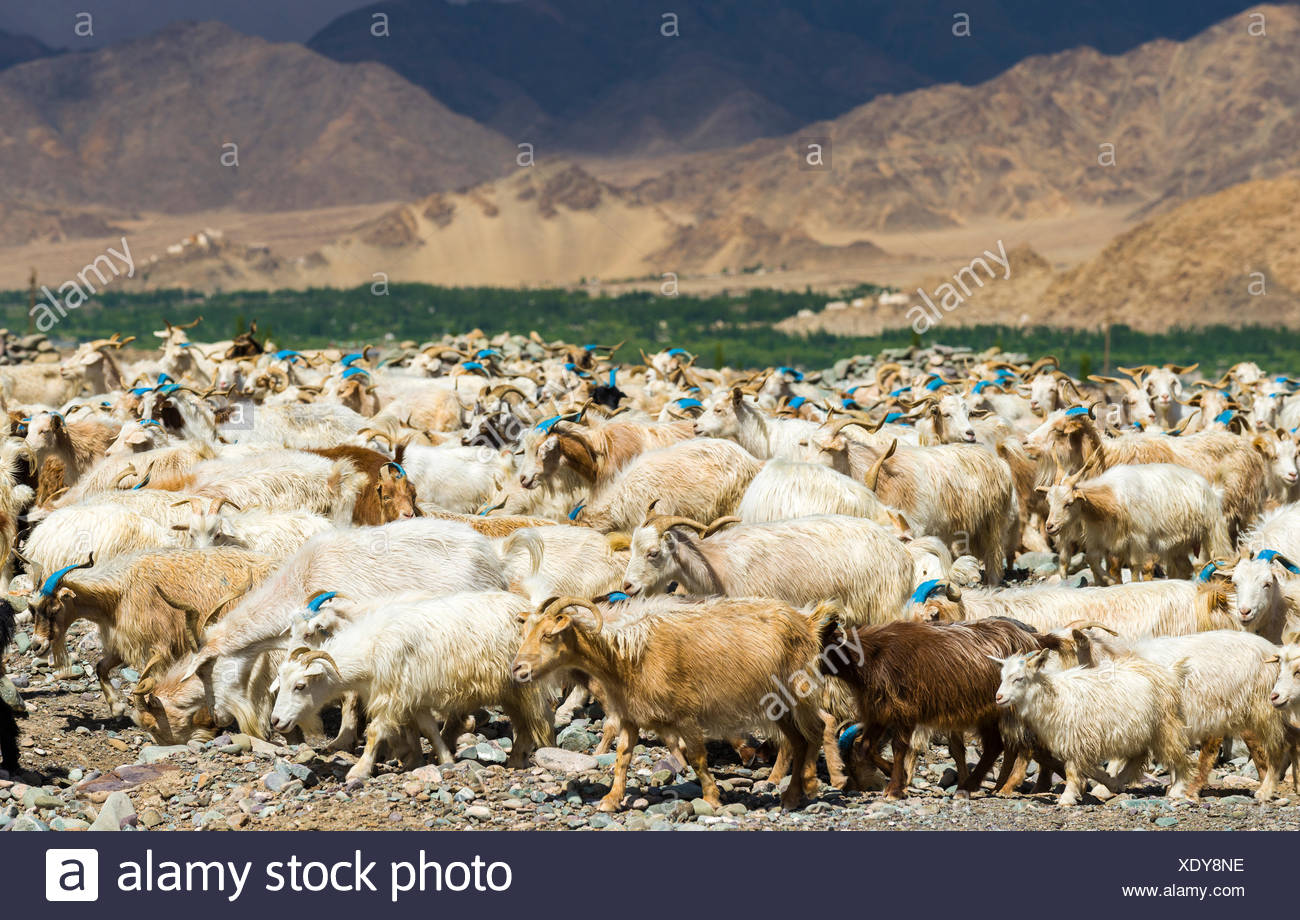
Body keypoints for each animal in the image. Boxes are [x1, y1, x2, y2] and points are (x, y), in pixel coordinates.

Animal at [271, 591, 554, 780]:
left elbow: (376, 732)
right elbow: (427, 729)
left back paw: (518, 759)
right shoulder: (413, 695)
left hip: (525, 685)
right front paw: (440, 759)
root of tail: (529, 608)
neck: (371, 647)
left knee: (533, 719)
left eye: (300, 686)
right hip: (509, 690)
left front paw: (359, 770)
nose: (275, 721)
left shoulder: (393, 694)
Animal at [511, 595, 825, 811]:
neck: (627, 660)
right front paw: (611, 799)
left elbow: (698, 758)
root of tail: (806, 621)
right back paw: (792, 796)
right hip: (781, 707)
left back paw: (807, 787)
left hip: (797, 692)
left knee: (816, 731)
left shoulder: (687, 715)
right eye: (523, 634)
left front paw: (712, 798)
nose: (517, 669)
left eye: (548, 635)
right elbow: (622, 757)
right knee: (799, 741)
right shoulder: (630, 717)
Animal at [623, 511, 914, 628]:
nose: (627, 586)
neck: (715, 562)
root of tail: (903, 554)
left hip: (884, 606)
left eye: (653, 552)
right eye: (632, 549)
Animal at [994, 649, 1193, 805]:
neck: (1054, 697)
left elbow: (1073, 771)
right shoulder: (1079, 742)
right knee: (1138, 756)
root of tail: (1169, 673)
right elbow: (1087, 769)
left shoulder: (1076, 739)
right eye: (1002, 677)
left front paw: (1067, 798)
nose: (998, 697)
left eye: (1019, 678)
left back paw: (1178, 789)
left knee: (1180, 757)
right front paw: (1107, 782)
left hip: (1166, 726)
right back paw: (1118, 782)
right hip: (1140, 731)